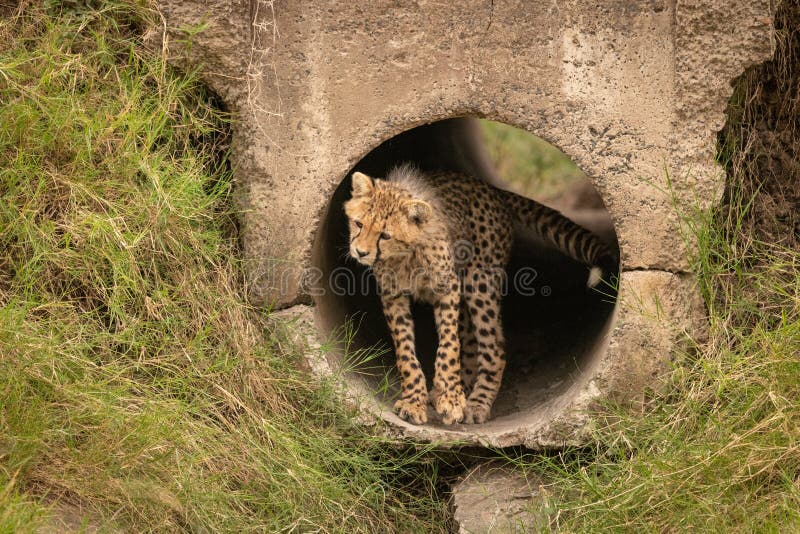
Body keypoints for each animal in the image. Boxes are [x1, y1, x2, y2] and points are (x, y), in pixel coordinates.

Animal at [343, 164, 616, 425]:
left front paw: (452, 399)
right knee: (472, 344)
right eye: (359, 224)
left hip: (479, 283)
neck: (404, 255)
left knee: (493, 347)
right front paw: (414, 401)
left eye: (385, 235)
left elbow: (449, 346)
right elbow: (405, 351)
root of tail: (490, 188)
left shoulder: (449, 287)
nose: (360, 252)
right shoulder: (393, 296)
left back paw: (475, 403)